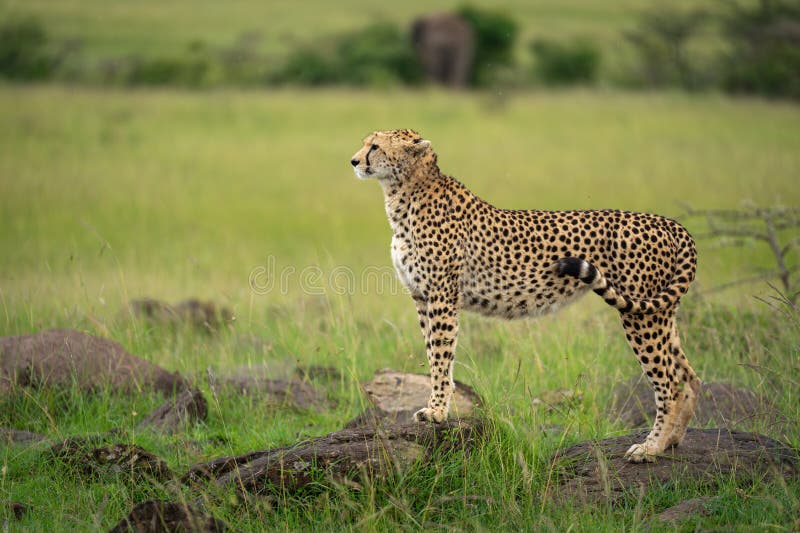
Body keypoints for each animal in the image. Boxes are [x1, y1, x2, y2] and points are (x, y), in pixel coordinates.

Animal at [350, 129, 701, 463]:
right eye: (367, 143)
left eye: (375, 147)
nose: (353, 161)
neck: (404, 193)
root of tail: (666, 221)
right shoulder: (421, 297)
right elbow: (432, 355)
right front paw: (436, 407)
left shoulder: (441, 297)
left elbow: (440, 358)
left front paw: (436, 412)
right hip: (659, 311)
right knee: (689, 377)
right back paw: (672, 441)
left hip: (639, 314)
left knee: (669, 383)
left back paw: (650, 448)